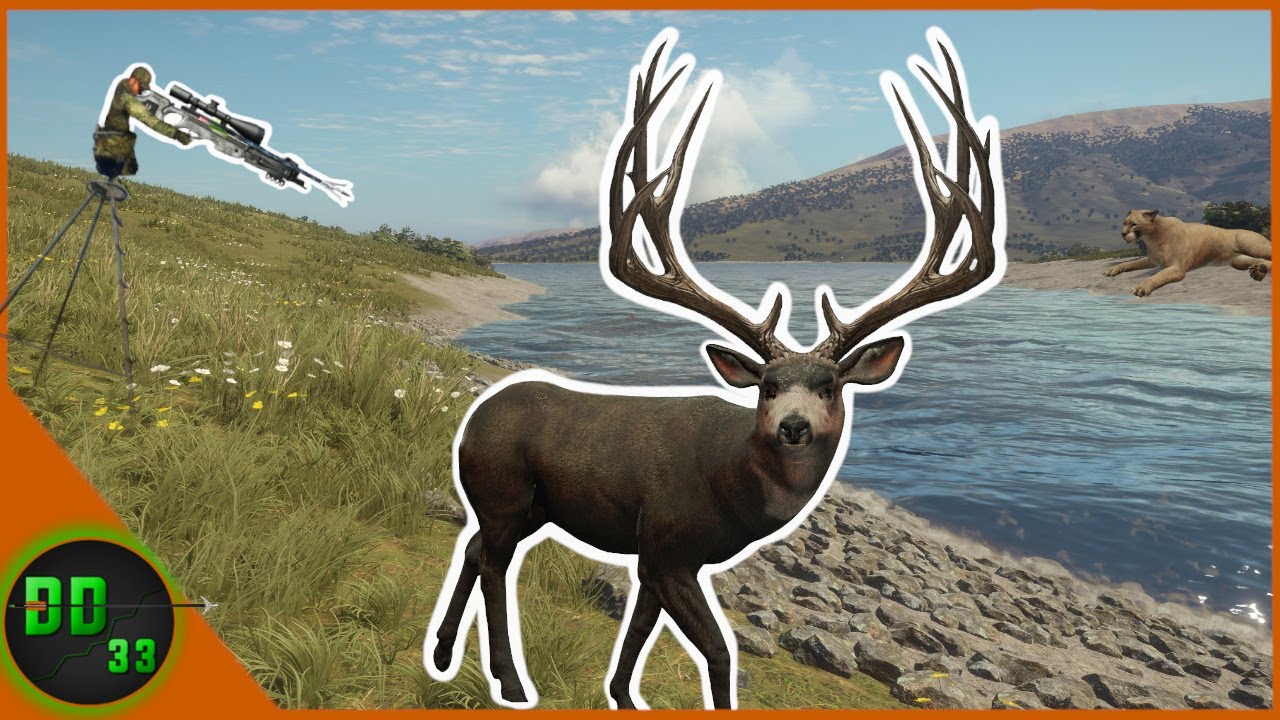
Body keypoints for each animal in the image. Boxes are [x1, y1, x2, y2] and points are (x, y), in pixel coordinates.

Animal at [425, 26, 1004, 710]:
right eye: (768, 387)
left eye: (830, 386)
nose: (793, 426)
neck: (735, 484)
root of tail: (471, 418)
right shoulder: (669, 544)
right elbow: (719, 651)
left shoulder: (656, 553)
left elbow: (637, 635)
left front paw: (623, 696)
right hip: (506, 492)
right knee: (492, 564)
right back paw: (511, 681)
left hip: (520, 507)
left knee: (470, 548)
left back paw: (442, 654)